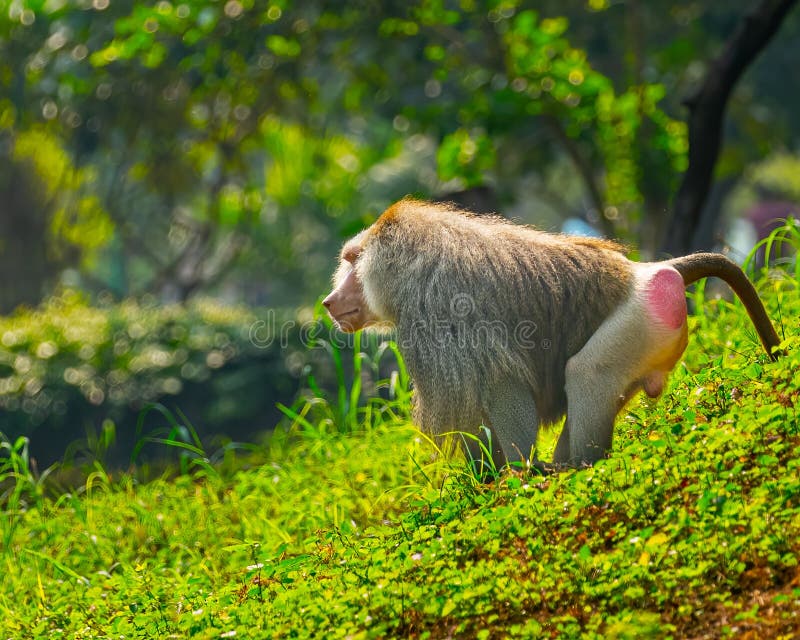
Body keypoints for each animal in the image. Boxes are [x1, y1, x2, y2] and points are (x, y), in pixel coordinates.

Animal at [322, 198, 782, 470]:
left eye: (353, 260)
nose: (328, 301)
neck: (414, 262)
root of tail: (649, 271)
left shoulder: (438, 311)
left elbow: (499, 387)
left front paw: (517, 475)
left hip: (639, 321)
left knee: (587, 374)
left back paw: (574, 469)